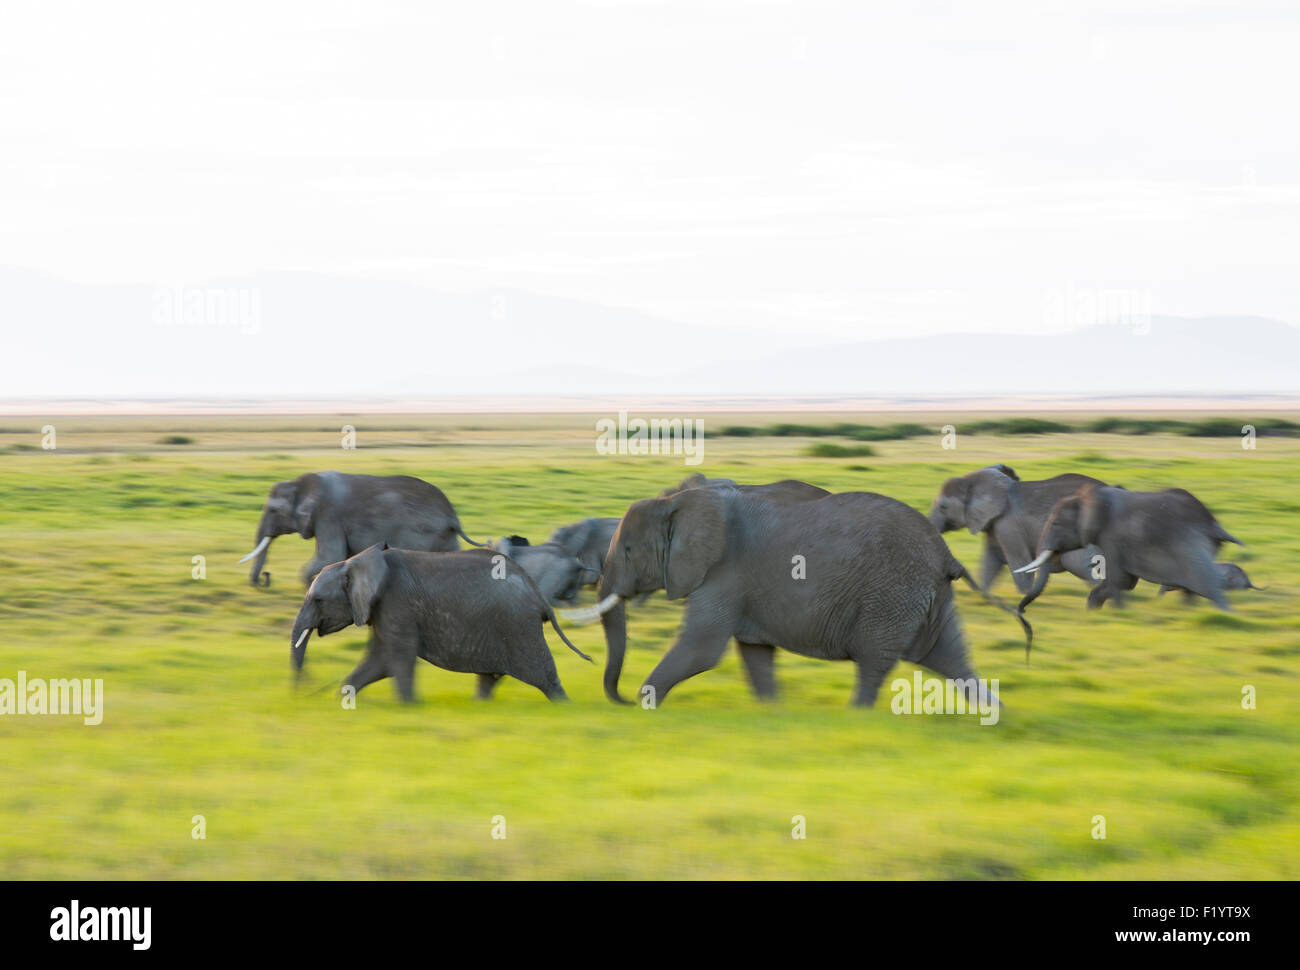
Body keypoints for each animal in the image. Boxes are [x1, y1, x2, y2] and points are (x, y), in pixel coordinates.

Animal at [239, 471, 484, 587]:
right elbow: (341, 557)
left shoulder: (328, 516)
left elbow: (330, 555)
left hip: (418, 532)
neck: (302, 483)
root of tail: (452, 515)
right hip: (444, 535)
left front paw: (309, 587)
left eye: (273, 510)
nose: (266, 578)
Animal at [289, 544, 592, 703]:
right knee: (491, 676)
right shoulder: (382, 609)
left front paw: (410, 706)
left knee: (542, 674)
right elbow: (381, 659)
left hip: (518, 626)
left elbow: (397, 656)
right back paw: (479, 705)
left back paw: (563, 706)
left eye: (317, 600)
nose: (307, 690)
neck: (356, 561)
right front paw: (347, 696)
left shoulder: (396, 604)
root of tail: (537, 592)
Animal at [588, 480, 1029, 707]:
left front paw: (647, 704)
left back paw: (856, 716)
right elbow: (754, 653)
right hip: (926, 594)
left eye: (628, 551)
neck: (678, 501)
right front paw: (770, 710)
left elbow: (702, 647)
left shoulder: (723, 571)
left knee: (875, 660)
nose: (622, 699)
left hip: (893, 593)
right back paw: (997, 714)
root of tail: (946, 553)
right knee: (952, 658)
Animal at [929, 465, 1107, 596]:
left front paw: (1023, 594)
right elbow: (991, 560)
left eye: (943, 506)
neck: (971, 480)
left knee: (1082, 562)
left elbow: (1018, 560)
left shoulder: (1009, 525)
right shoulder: (994, 525)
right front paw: (985, 595)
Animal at [1015, 484, 1243, 612]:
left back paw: (1225, 612)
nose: (1021, 611)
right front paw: (1095, 608)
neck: (1085, 499)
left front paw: (1118, 611)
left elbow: (1120, 579)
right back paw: (1190, 611)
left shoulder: (1111, 537)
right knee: (1193, 590)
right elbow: (1124, 582)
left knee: (1209, 585)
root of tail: (1213, 524)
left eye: (1055, 524)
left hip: (1191, 549)